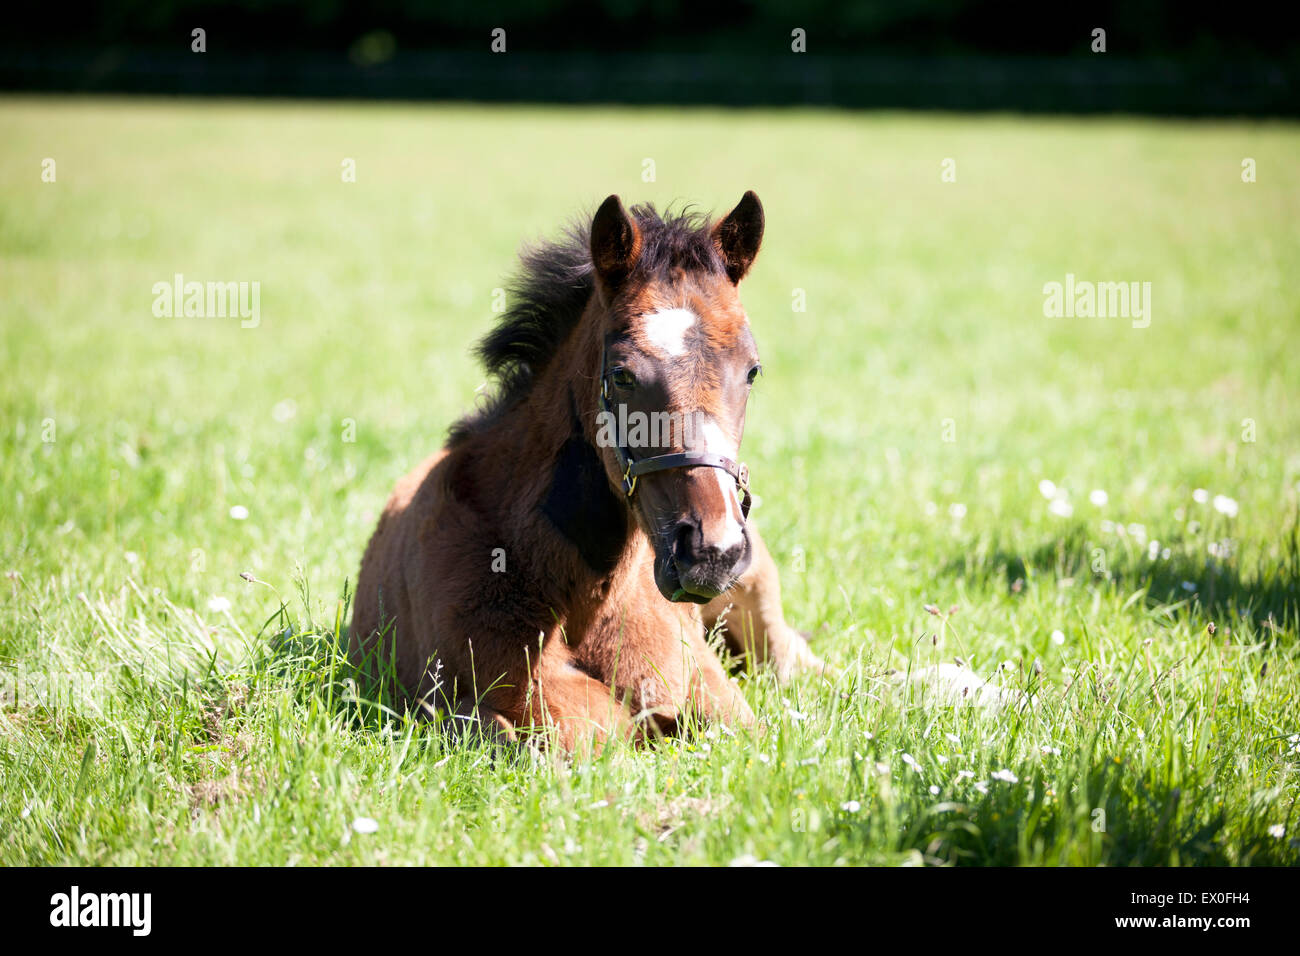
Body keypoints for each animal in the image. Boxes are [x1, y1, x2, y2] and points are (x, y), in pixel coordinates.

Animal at [349, 192, 825, 753]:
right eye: (622, 375)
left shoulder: (726, 705)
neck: (585, 607)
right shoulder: (470, 710)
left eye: (751, 371)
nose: (714, 552)